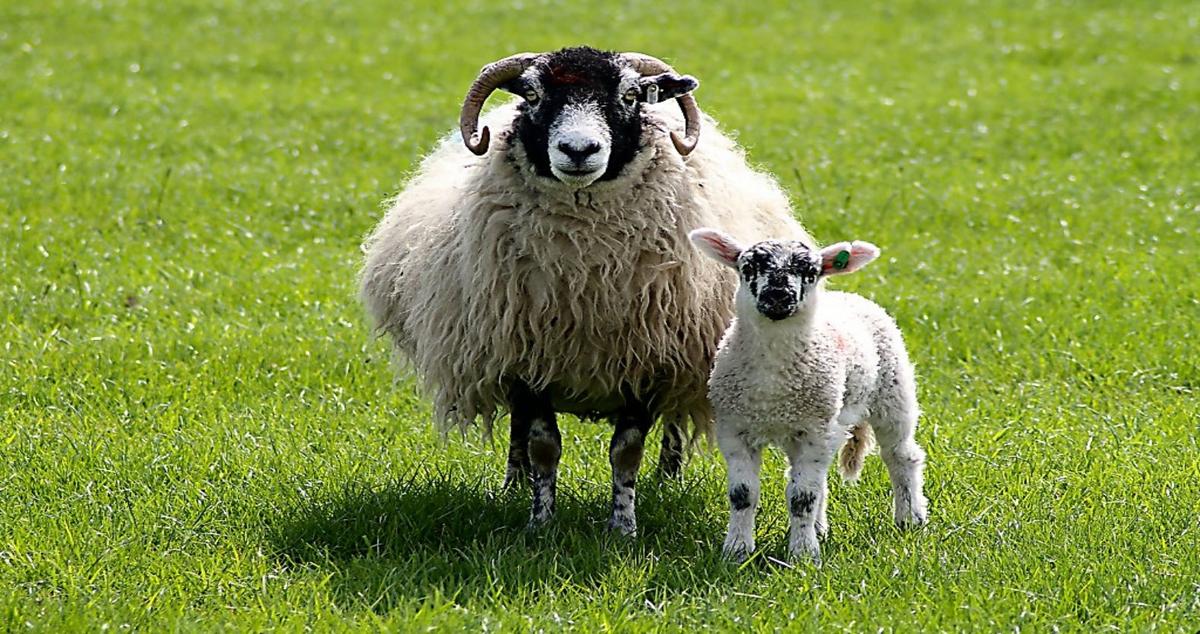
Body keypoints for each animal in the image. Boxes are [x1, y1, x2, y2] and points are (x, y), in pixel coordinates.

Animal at [359, 46, 813, 535]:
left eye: (631, 95)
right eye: (533, 94)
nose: (579, 150)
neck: (586, 276)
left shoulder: (648, 363)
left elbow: (626, 451)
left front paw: (624, 527)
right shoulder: (526, 361)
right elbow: (543, 445)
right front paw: (540, 523)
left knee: (674, 421)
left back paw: (667, 478)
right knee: (518, 432)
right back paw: (514, 483)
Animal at [689, 228, 929, 562]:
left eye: (811, 272)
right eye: (748, 267)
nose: (778, 295)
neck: (772, 385)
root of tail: (846, 296)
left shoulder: (815, 431)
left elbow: (802, 497)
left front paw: (803, 556)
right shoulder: (735, 429)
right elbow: (743, 494)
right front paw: (736, 551)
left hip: (892, 393)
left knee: (901, 455)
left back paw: (909, 518)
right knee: (819, 477)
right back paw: (819, 528)